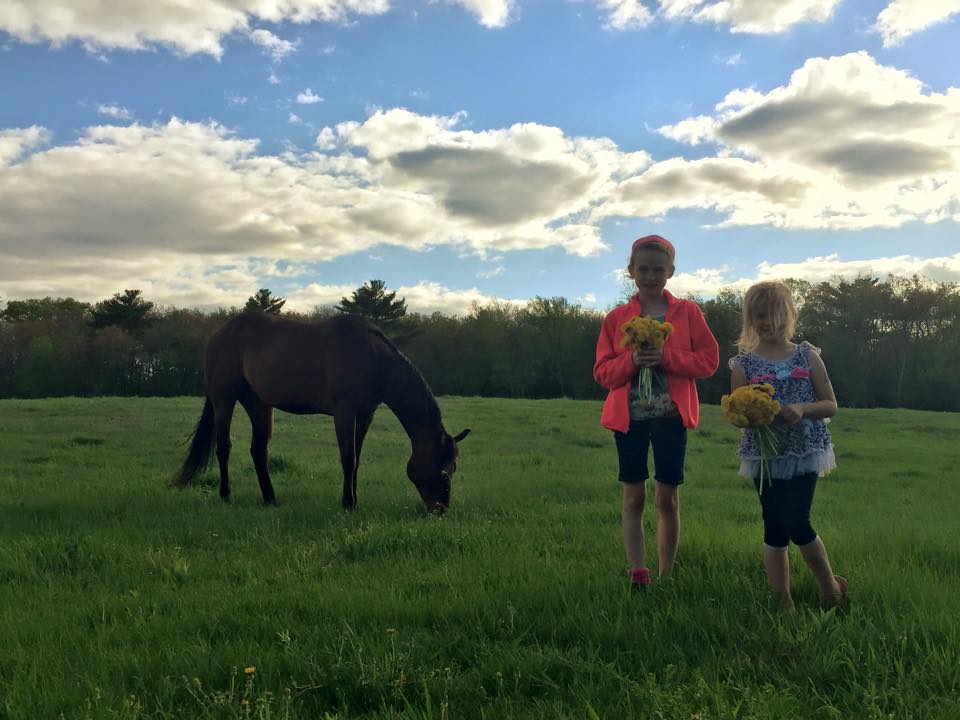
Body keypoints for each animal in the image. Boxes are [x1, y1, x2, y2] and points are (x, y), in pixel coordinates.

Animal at [173, 312, 470, 512]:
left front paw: (354, 499)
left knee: (259, 451)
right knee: (224, 447)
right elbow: (348, 458)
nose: (441, 509)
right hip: (224, 399)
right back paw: (226, 494)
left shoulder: (365, 414)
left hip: (259, 404)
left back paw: (270, 498)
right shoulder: (344, 411)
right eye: (443, 470)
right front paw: (348, 503)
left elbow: (357, 458)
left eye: (453, 468)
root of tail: (218, 335)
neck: (373, 359)